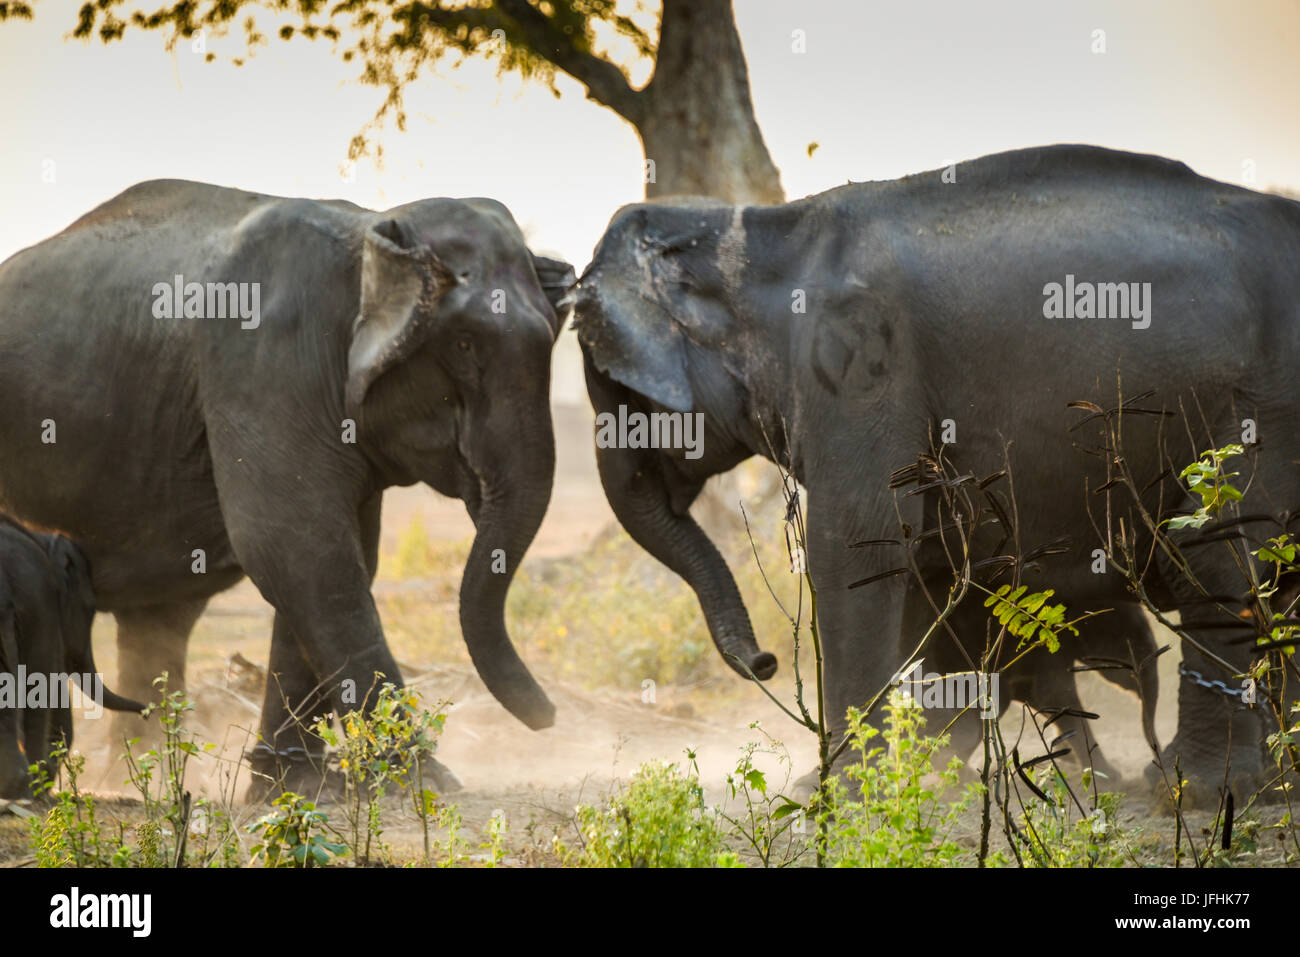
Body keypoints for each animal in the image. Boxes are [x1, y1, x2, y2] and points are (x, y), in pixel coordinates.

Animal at [0, 516, 145, 797]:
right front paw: (40, 783)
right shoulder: (43, 603)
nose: (147, 711)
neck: (41, 537)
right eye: (91, 608)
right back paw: (21, 787)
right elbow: (42, 683)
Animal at [574, 144, 1300, 805]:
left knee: (1218, 551)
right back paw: (1263, 781)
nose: (766, 661)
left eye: (617, 391)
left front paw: (843, 795)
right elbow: (924, 557)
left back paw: (1197, 788)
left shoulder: (861, 366)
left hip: (1257, 404)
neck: (759, 230)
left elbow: (858, 546)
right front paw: (905, 774)